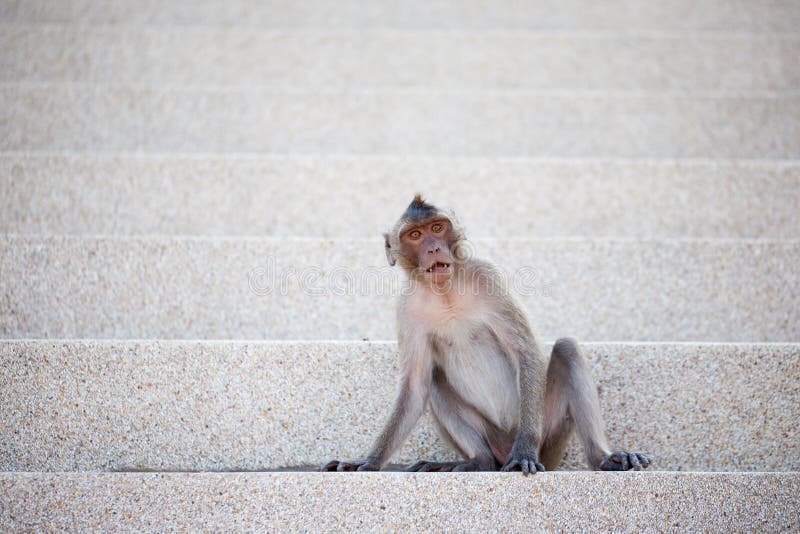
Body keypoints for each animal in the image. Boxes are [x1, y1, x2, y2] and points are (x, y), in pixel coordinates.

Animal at [323, 195, 650, 473]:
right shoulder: (406, 309)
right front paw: (368, 461)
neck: (446, 293)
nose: (433, 248)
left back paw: (602, 458)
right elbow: (415, 386)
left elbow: (525, 352)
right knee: (435, 379)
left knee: (567, 349)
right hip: (492, 438)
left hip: (547, 431)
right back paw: (477, 461)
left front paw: (525, 453)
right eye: (414, 235)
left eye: (437, 227)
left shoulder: (487, 276)